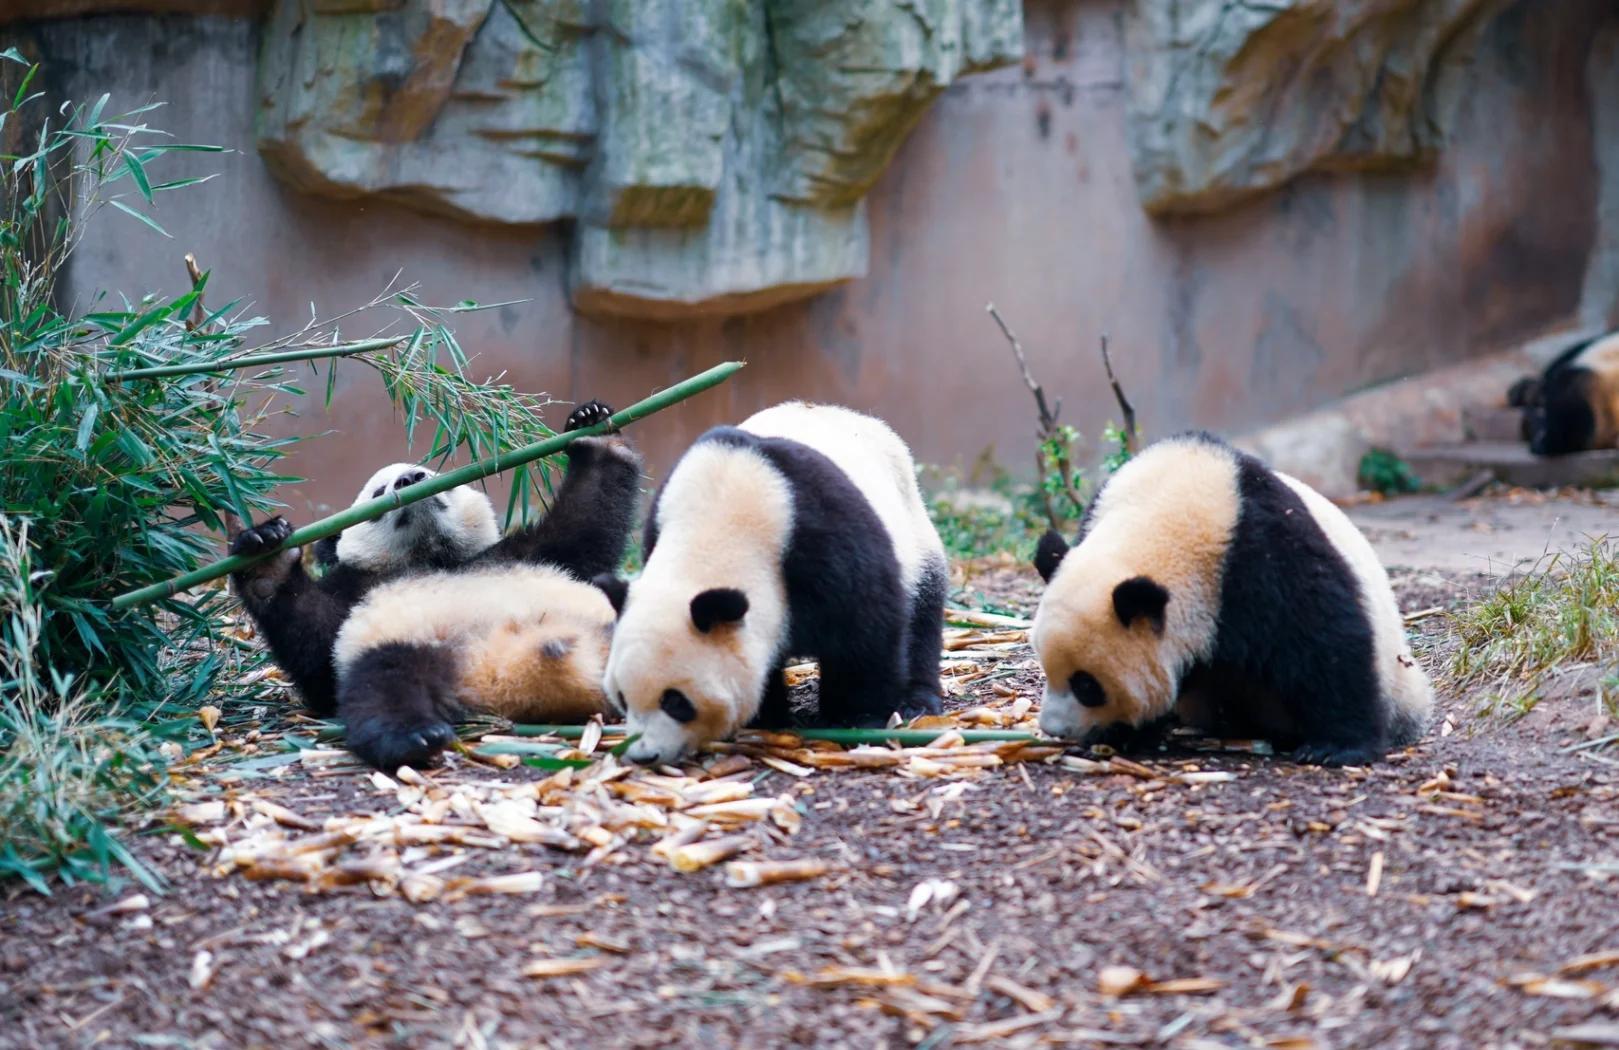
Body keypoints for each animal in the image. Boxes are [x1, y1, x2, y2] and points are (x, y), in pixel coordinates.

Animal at [229, 400, 642, 769]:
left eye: (429, 475)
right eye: (378, 492)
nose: (410, 480)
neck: (426, 558)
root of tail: (504, 679)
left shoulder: (517, 555)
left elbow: (583, 531)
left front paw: (594, 429)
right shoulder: (357, 594)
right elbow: (316, 651)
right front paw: (267, 557)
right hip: (411, 646)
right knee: (382, 685)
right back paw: (415, 738)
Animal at [594, 401, 949, 767]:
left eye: (675, 701)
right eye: (622, 697)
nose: (644, 755)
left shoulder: (821, 536)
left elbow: (866, 627)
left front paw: (855, 718)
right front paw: (769, 716)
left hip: (911, 522)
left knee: (922, 612)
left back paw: (917, 700)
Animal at [1030, 432, 1432, 766]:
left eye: (1086, 685)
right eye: (1046, 669)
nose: (1053, 728)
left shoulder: (1262, 556)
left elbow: (1326, 640)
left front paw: (1334, 748)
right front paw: (1123, 733)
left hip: (1398, 675)